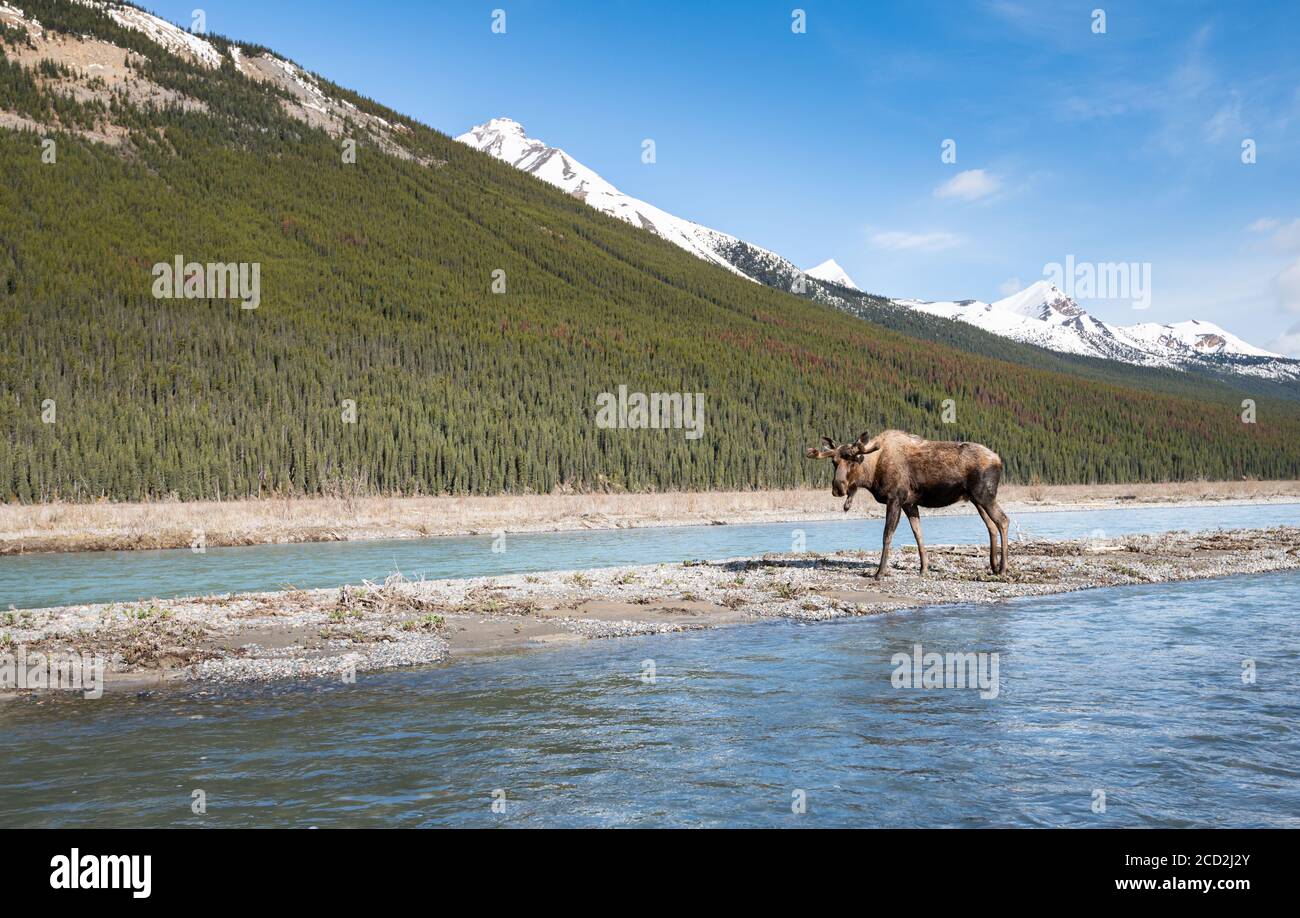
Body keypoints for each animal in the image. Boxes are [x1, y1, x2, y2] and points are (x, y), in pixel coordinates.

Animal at [805, 430, 1009, 580]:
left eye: (853, 461)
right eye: (834, 461)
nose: (838, 488)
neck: (872, 475)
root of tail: (1000, 460)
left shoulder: (895, 498)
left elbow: (887, 535)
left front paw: (879, 572)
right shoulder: (909, 503)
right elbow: (918, 535)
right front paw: (923, 568)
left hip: (985, 496)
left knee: (1003, 521)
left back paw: (1003, 568)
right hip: (976, 499)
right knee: (991, 526)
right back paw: (993, 566)